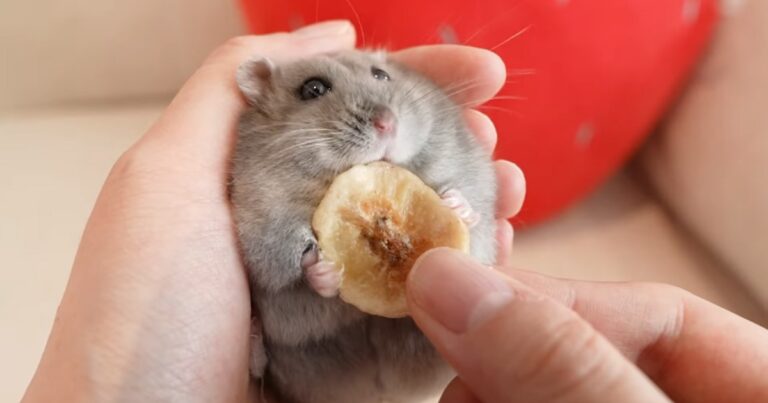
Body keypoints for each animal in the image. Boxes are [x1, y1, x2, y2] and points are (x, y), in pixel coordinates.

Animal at [230, 49, 497, 403]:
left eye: (381, 75)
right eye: (312, 89)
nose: (387, 123)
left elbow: (471, 203)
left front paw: (455, 205)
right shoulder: (264, 229)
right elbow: (290, 267)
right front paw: (323, 272)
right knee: (260, 369)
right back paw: (253, 337)